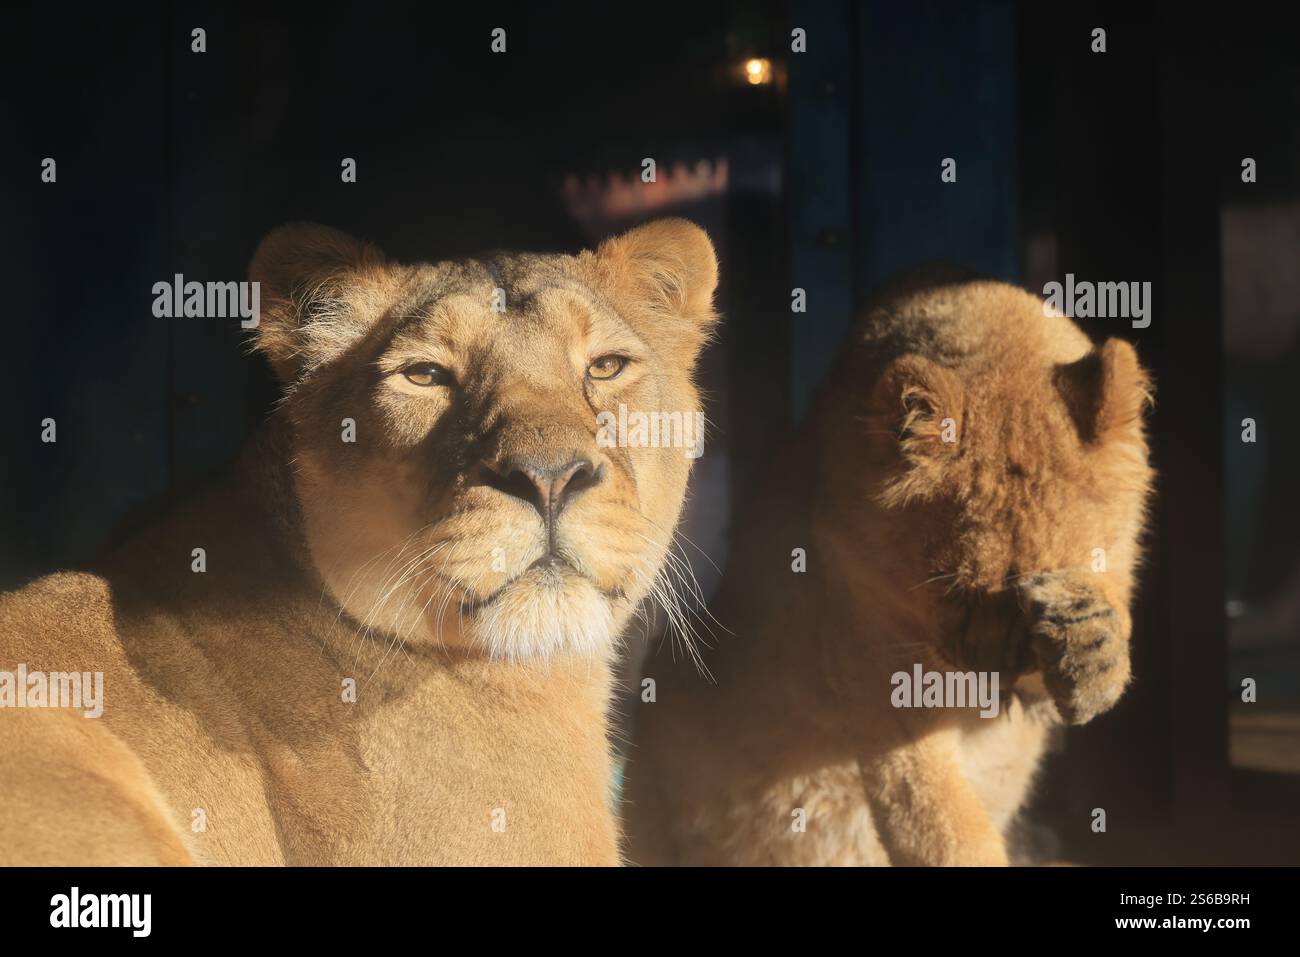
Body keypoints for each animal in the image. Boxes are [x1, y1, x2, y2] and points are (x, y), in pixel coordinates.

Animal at [623, 267, 1154, 866]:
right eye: (953, 590)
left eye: (1029, 592)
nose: (992, 684)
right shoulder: (870, 649)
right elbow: (935, 812)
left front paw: (1090, 644)